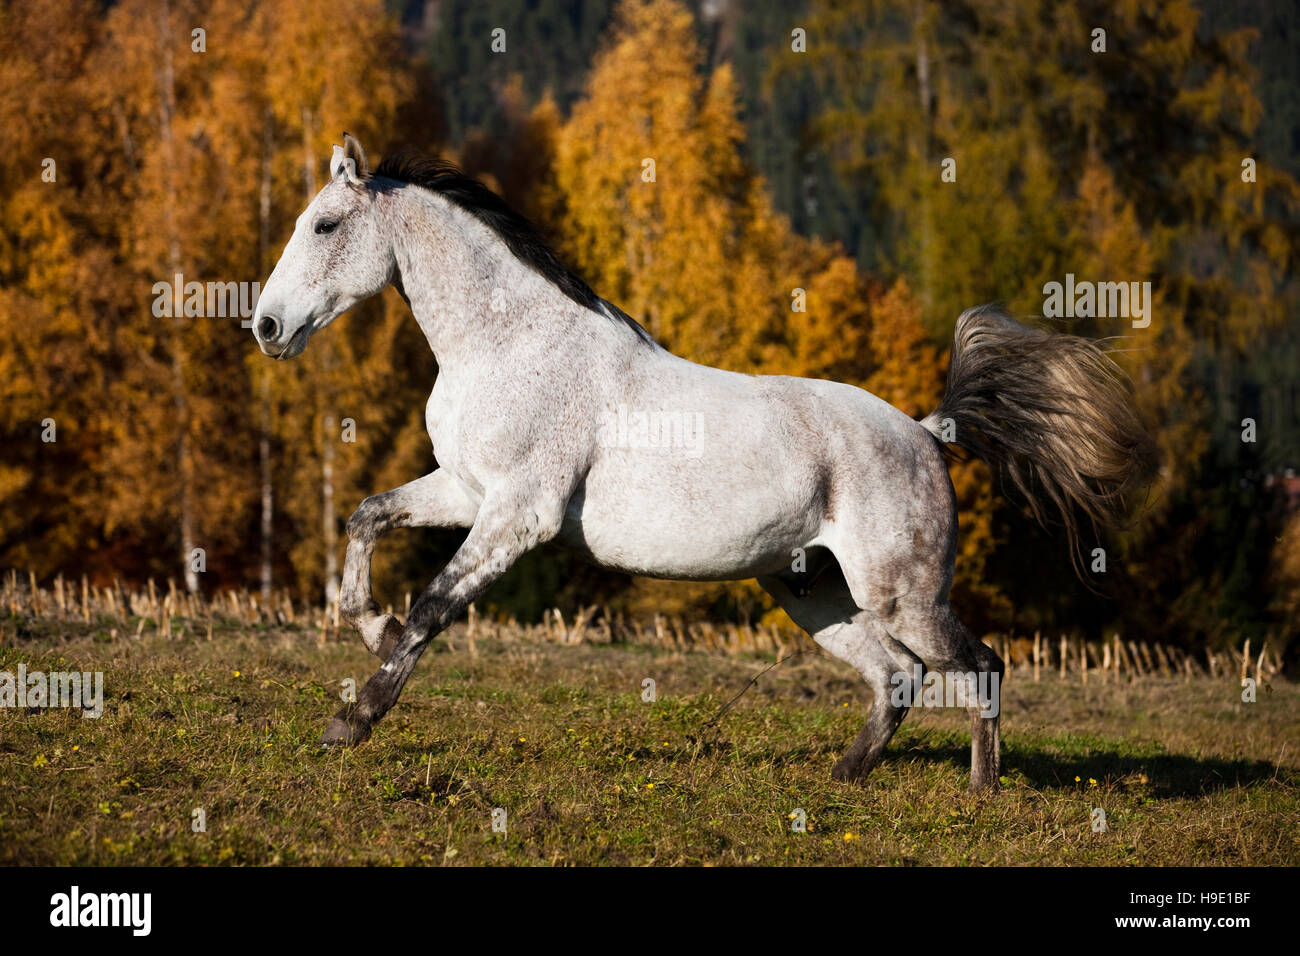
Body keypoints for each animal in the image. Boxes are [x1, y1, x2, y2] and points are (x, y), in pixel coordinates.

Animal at [252, 133, 1154, 790]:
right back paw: (843, 777)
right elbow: (366, 516)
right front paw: (367, 627)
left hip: (902, 595)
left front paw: (351, 722)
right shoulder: (467, 492)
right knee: (898, 677)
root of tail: (929, 432)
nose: (265, 326)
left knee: (979, 666)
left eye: (324, 225)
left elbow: (433, 608)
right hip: (815, 592)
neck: (510, 344)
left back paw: (979, 793)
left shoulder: (517, 515)